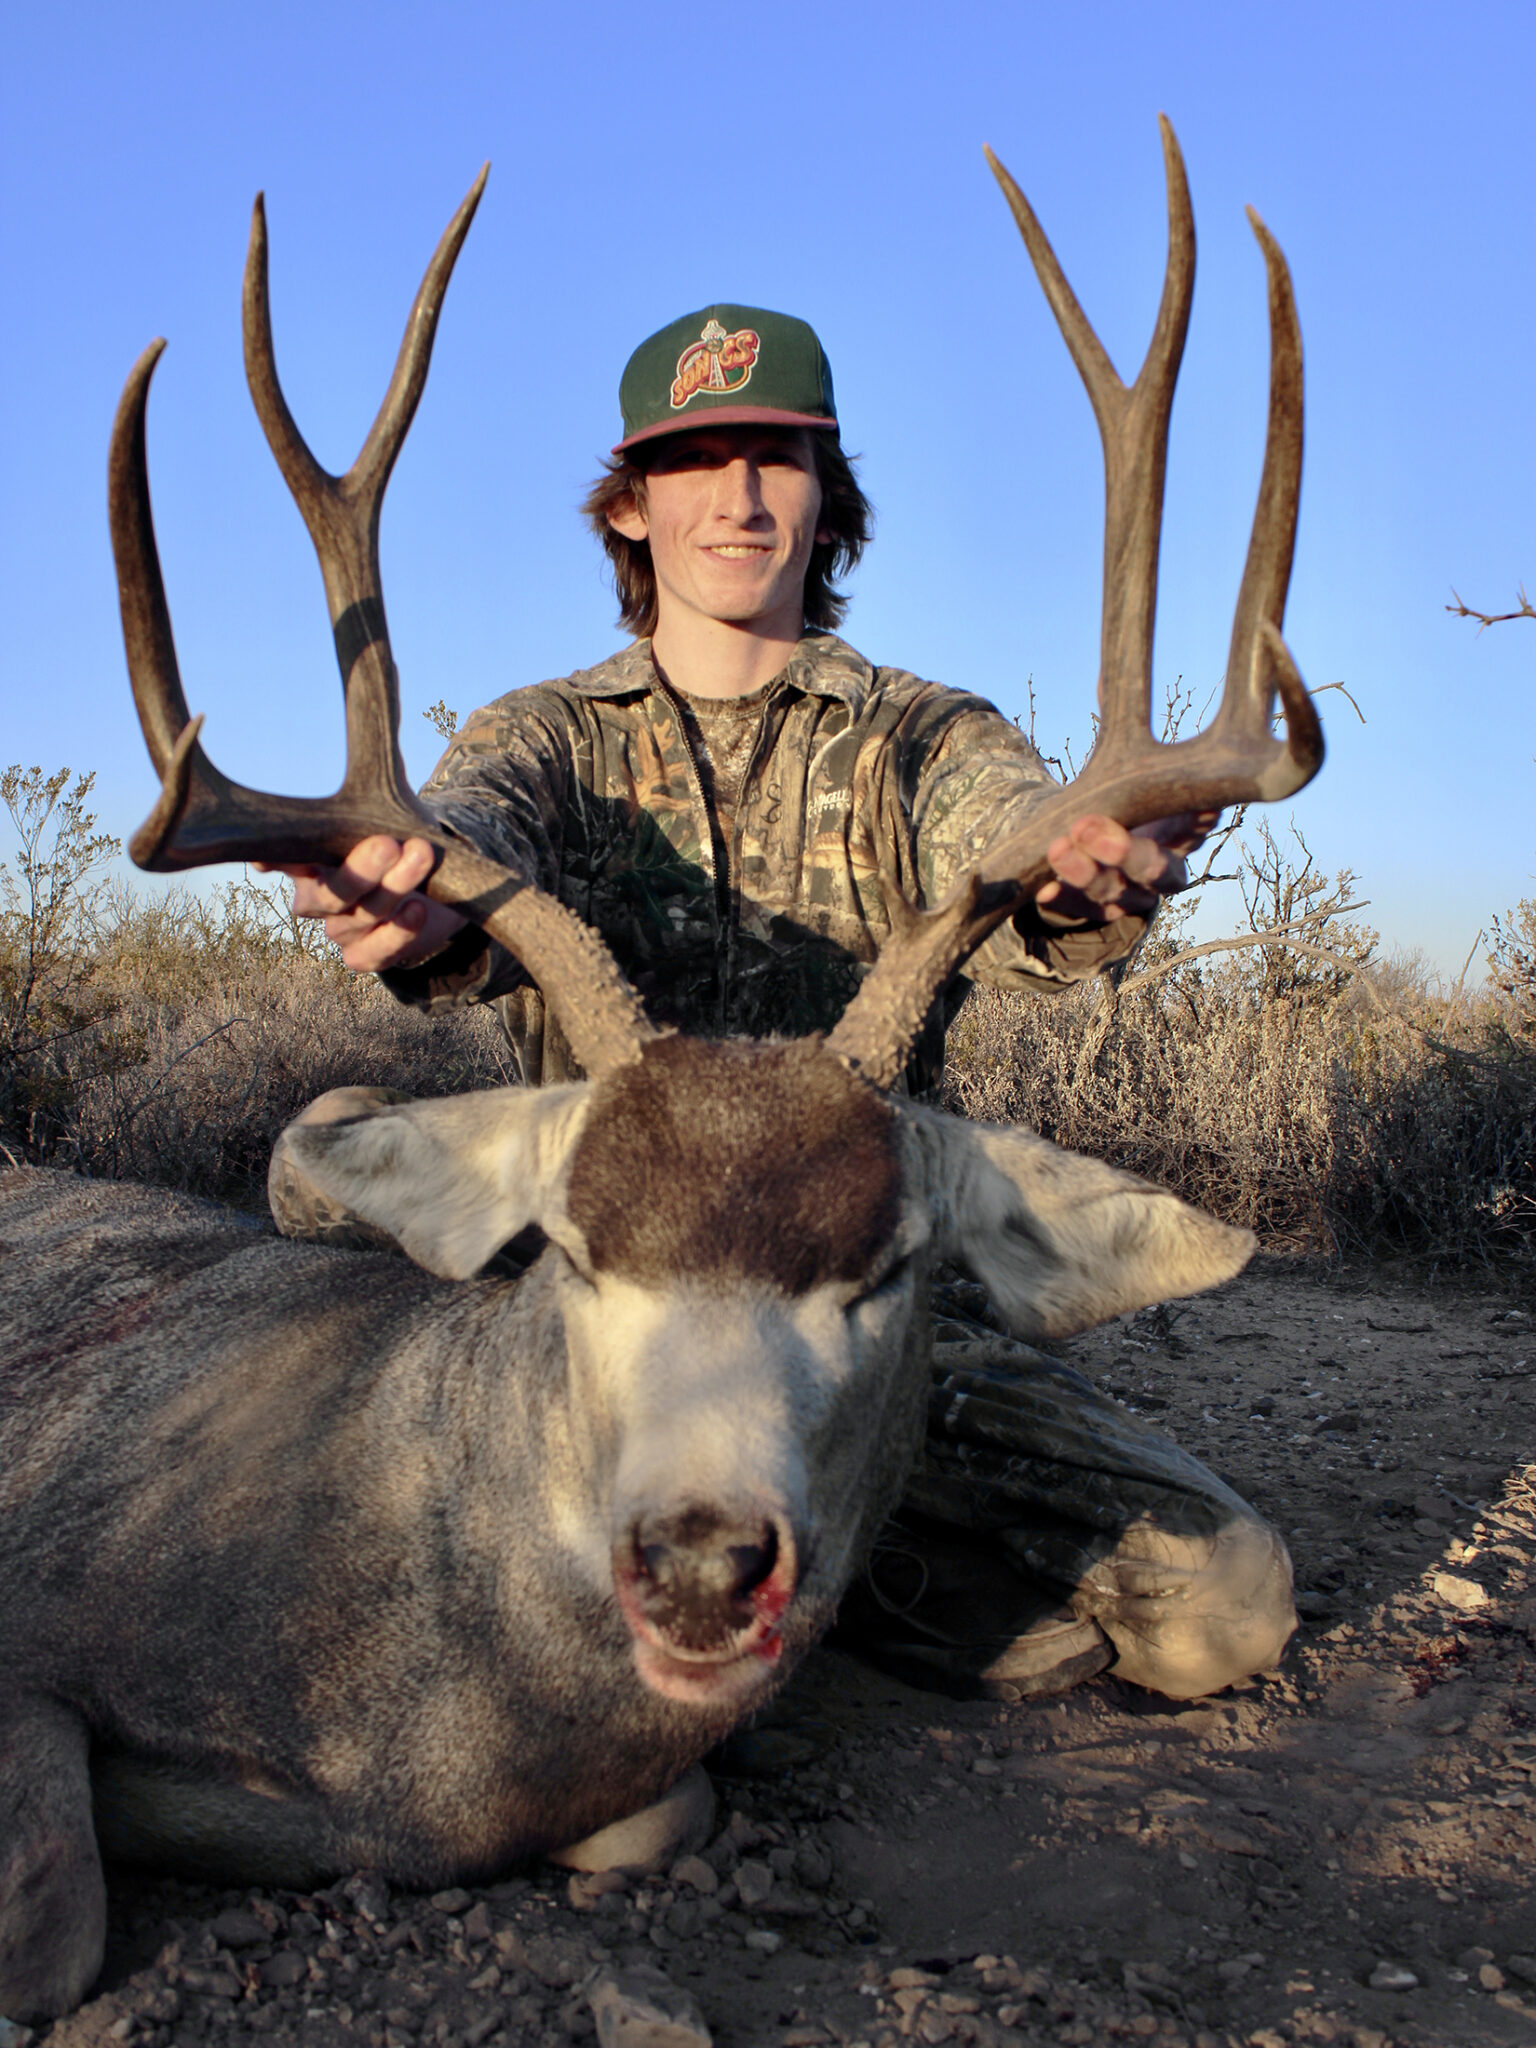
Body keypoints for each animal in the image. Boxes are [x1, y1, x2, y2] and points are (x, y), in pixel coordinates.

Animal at [0, 119, 1321, 2022]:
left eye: (892, 1266)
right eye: (568, 1244)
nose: (702, 1560)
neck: (404, 1728)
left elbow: (658, 1814)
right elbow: (51, 1912)